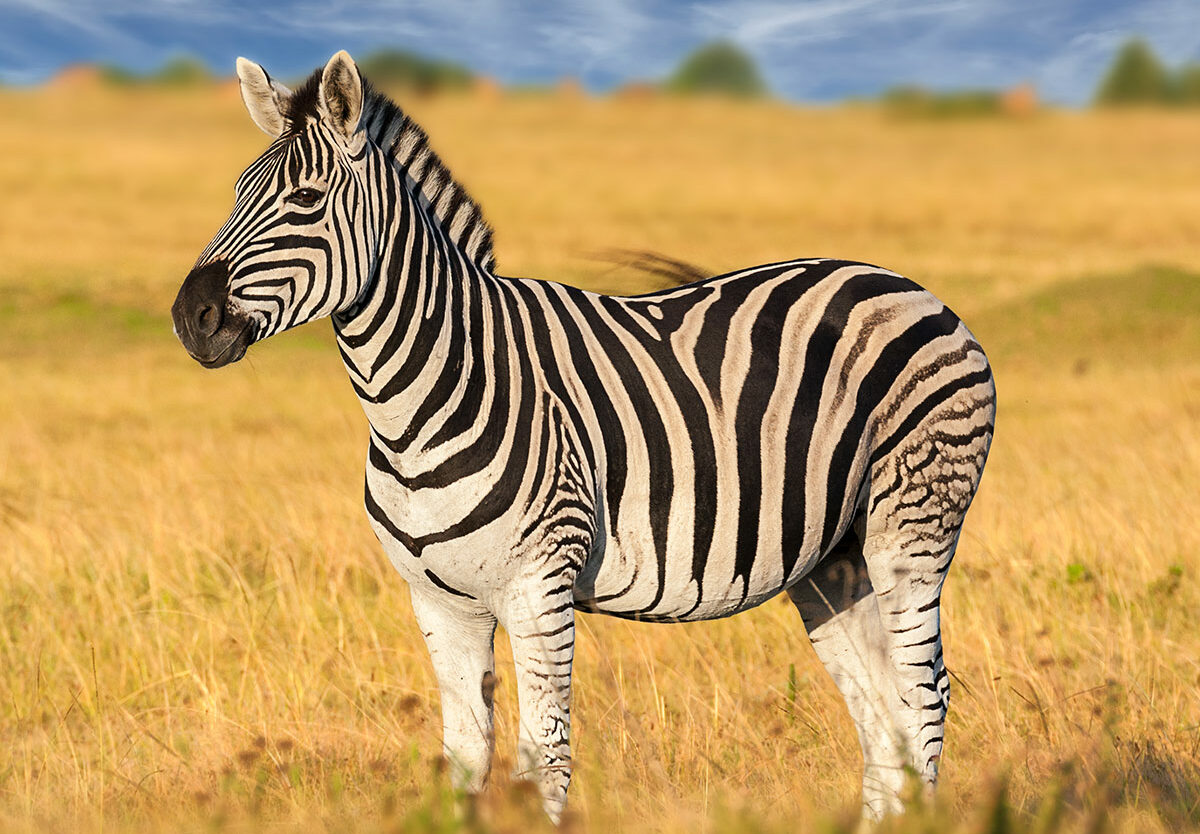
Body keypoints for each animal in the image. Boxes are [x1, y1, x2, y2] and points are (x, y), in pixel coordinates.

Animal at [171, 51, 995, 823]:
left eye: (305, 200)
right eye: (238, 193)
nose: (190, 318)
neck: (419, 402)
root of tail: (904, 284)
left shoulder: (541, 585)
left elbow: (546, 759)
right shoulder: (438, 601)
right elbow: (467, 757)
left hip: (912, 524)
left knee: (923, 698)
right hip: (832, 558)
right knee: (880, 710)